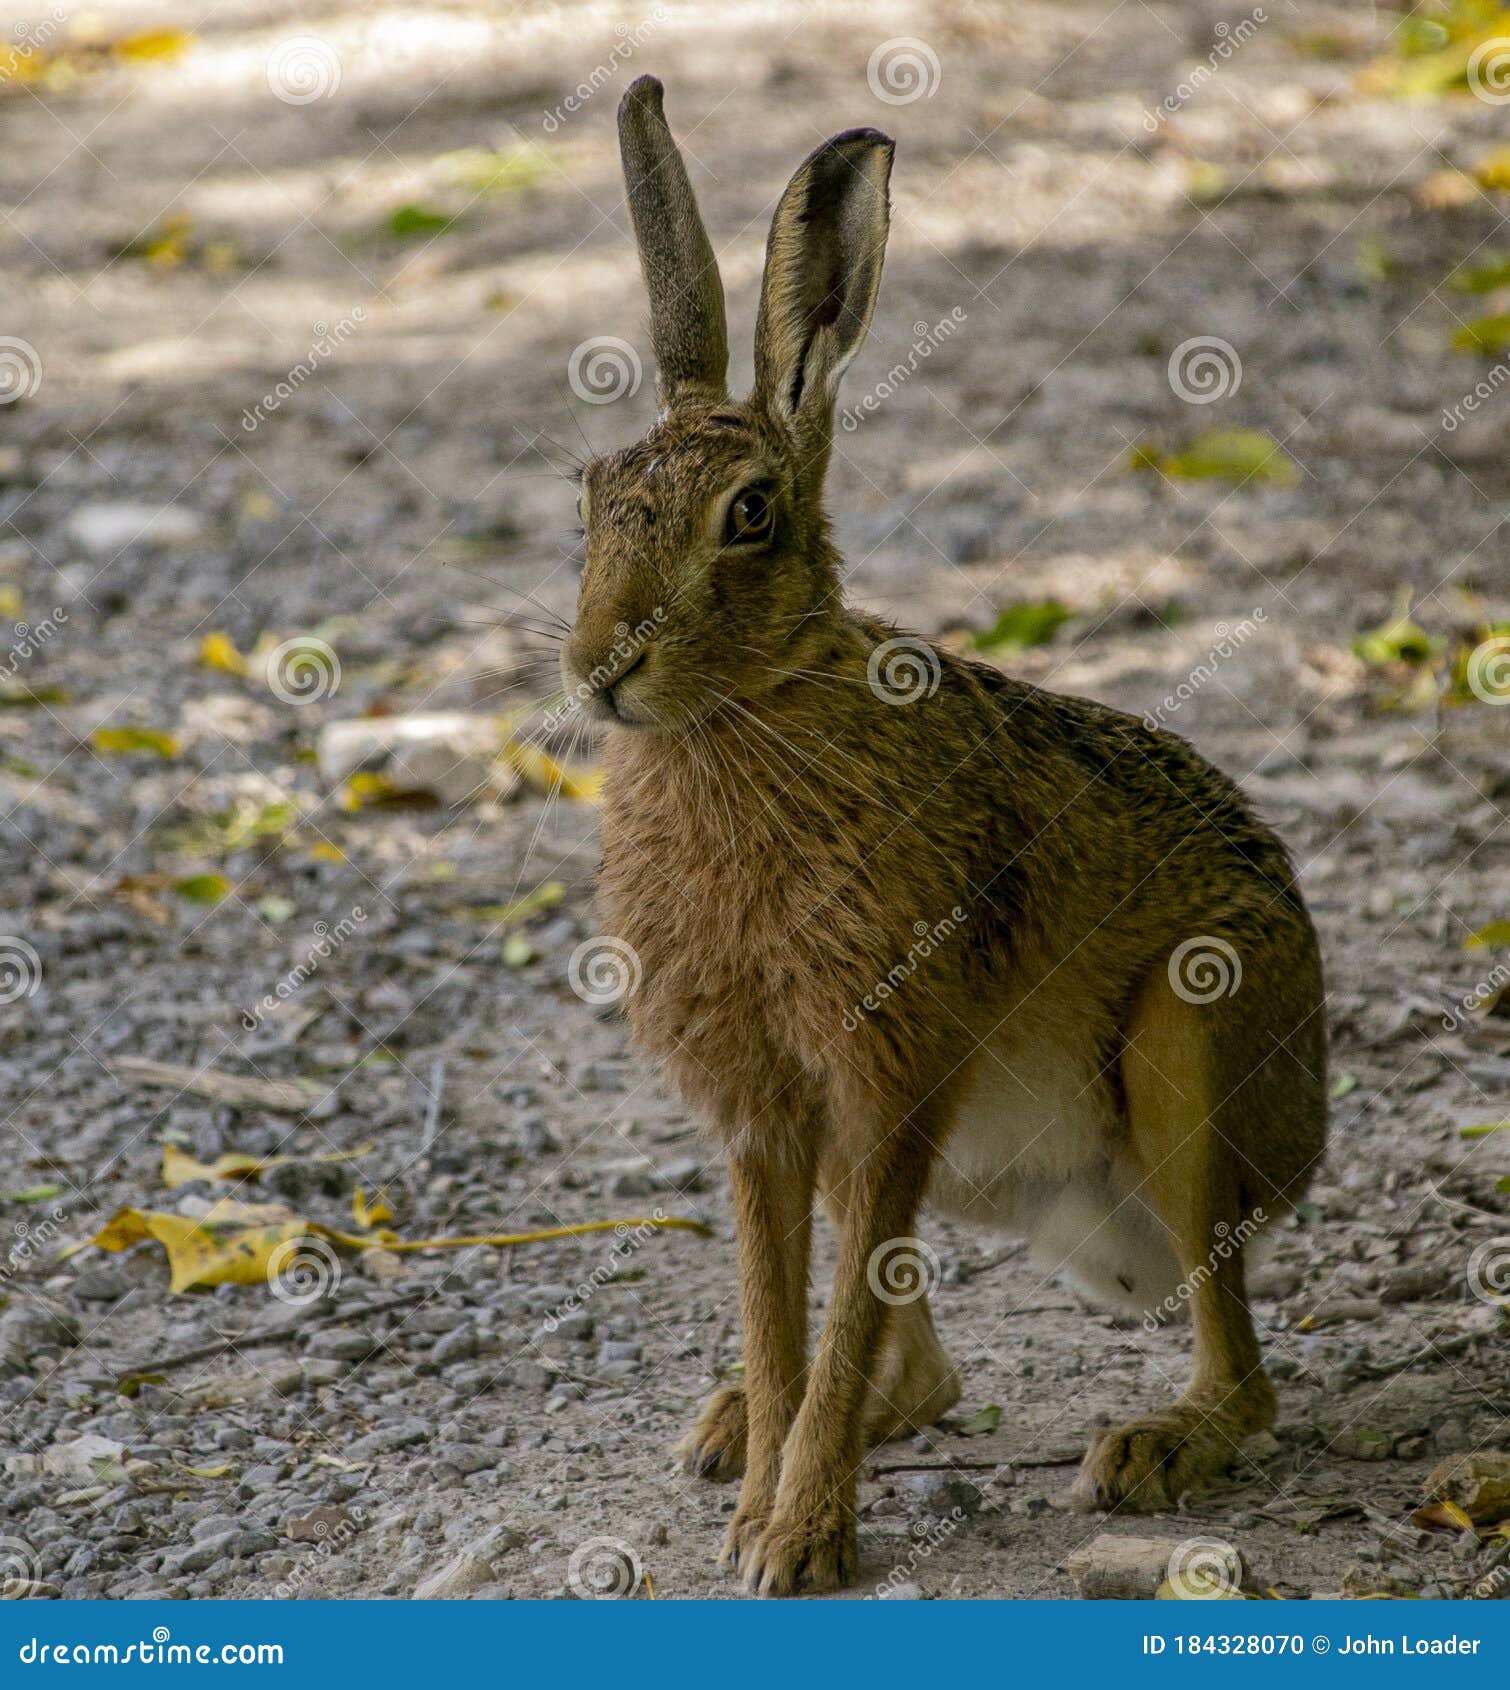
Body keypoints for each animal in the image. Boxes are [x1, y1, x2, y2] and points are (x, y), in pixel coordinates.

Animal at [559, 75, 1327, 1596]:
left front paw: (795, 1542)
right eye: (591, 498)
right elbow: (778, 1312)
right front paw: (767, 1505)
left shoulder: (888, 1064)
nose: (599, 666)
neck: (749, 714)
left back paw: (1157, 1444)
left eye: (748, 515)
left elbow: (833, 1308)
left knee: (1237, 1352)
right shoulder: (765, 1109)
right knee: (917, 1351)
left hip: (1185, 1045)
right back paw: (736, 1429)